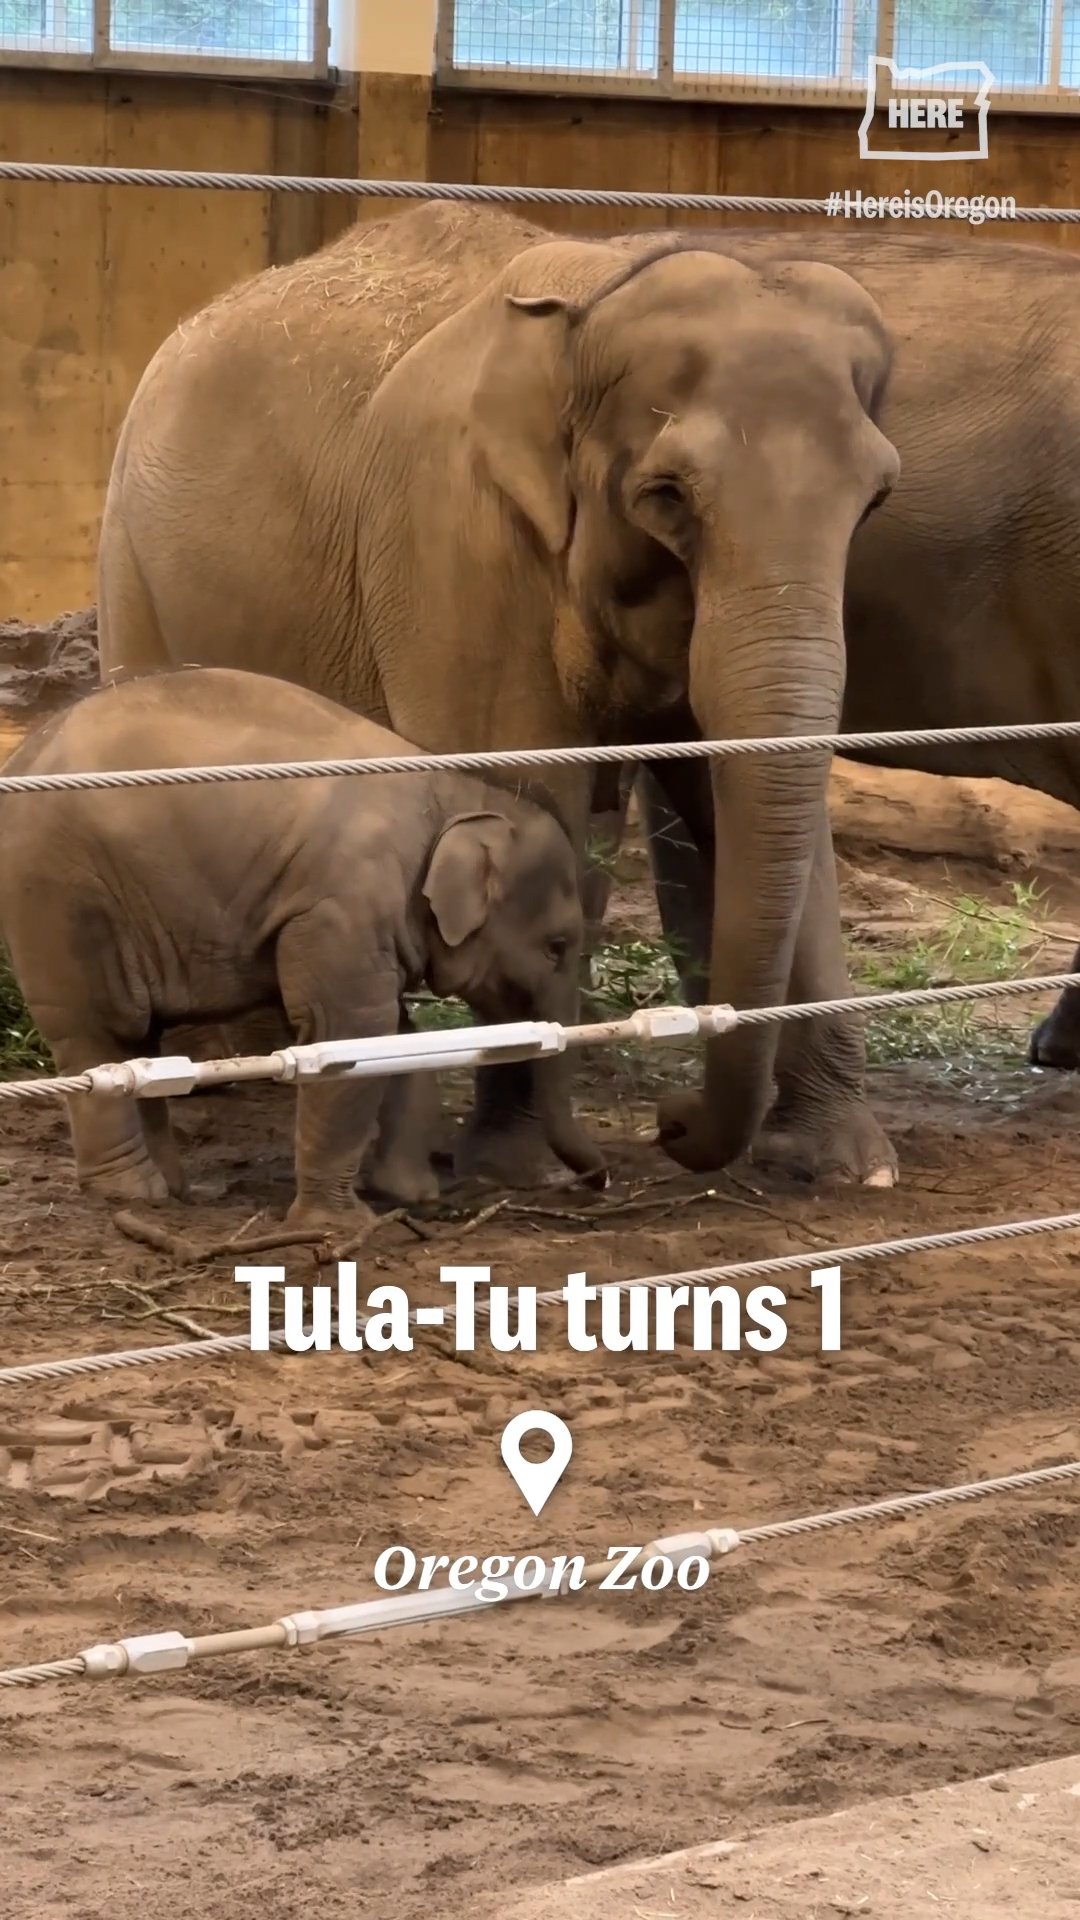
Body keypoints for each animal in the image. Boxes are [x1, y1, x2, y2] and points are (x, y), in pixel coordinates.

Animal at [0, 667, 593, 1225]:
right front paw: (339, 1223)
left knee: (138, 1039)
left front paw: (409, 1194)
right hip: (60, 896)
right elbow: (350, 1029)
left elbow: (396, 1034)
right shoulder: (342, 902)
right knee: (100, 1034)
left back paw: (174, 1190)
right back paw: (131, 1192)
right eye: (556, 947)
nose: (594, 1181)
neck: (457, 787)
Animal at [96, 201, 901, 1192]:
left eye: (875, 499)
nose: (668, 1125)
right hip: (129, 560)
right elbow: (526, 786)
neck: (600, 299)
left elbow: (761, 798)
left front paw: (851, 1167)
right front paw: (524, 1169)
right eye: (667, 495)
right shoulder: (450, 528)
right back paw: (219, 1070)